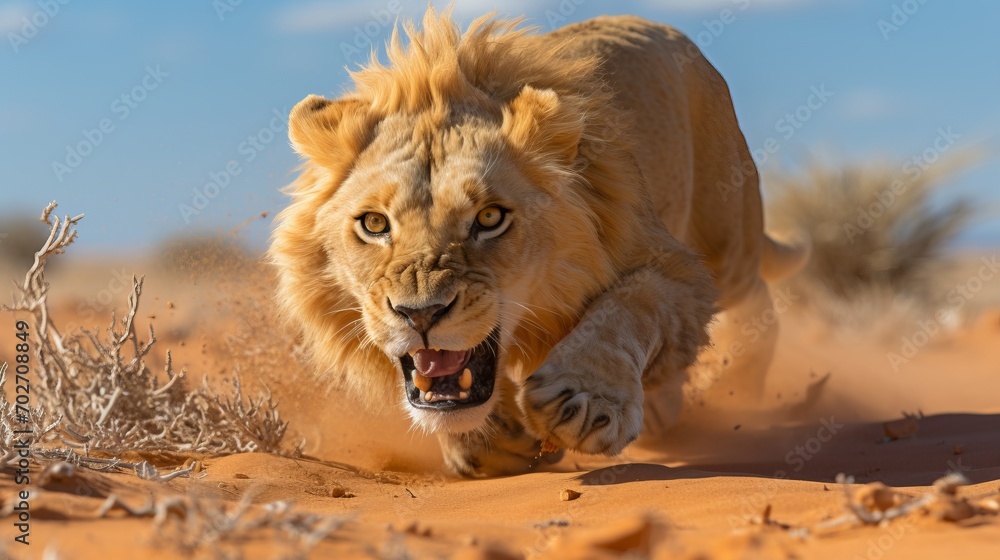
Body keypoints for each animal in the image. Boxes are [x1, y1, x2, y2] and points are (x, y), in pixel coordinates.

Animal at [269, 9, 808, 476]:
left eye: (489, 218)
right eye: (375, 224)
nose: (420, 314)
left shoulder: (672, 264)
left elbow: (630, 307)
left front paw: (587, 402)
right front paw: (490, 440)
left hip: (728, 241)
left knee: (758, 301)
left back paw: (735, 388)